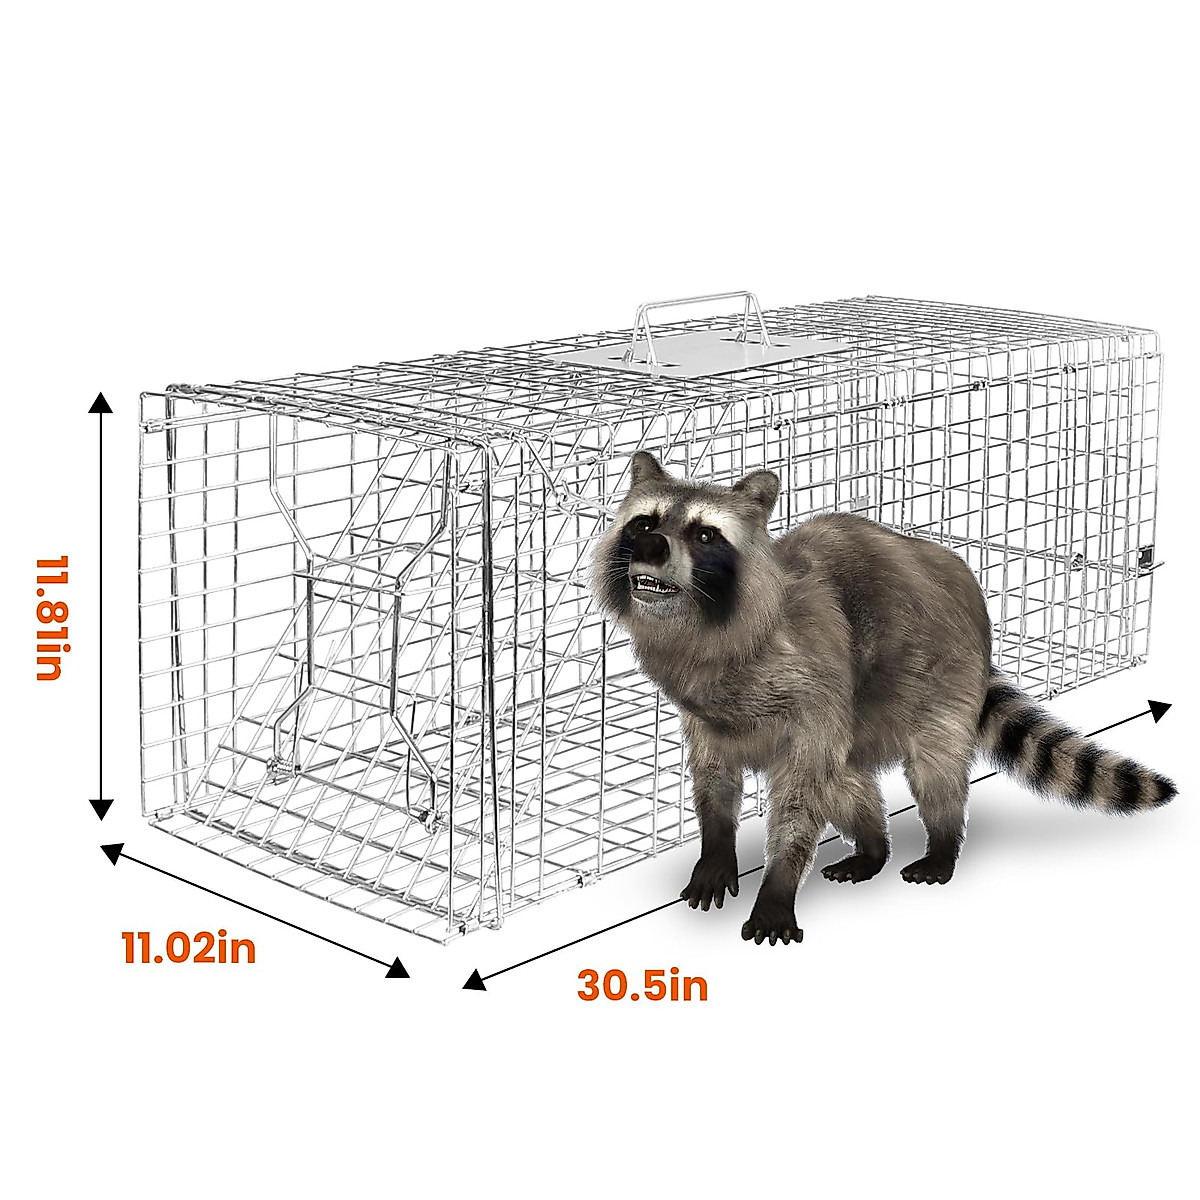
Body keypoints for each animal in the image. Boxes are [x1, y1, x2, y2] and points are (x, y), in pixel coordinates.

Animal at [592, 451, 1176, 945]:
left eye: (705, 534)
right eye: (644, 523)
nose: (650, 548)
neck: (701, 628)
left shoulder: (812, 677)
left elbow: (800, 799)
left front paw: (778, 884)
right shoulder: (703, 711)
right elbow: (715, 780)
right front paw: (715, 850)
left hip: (938, 680)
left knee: (931, 771)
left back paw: (941, 843)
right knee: (846, 782)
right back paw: (873, 847)